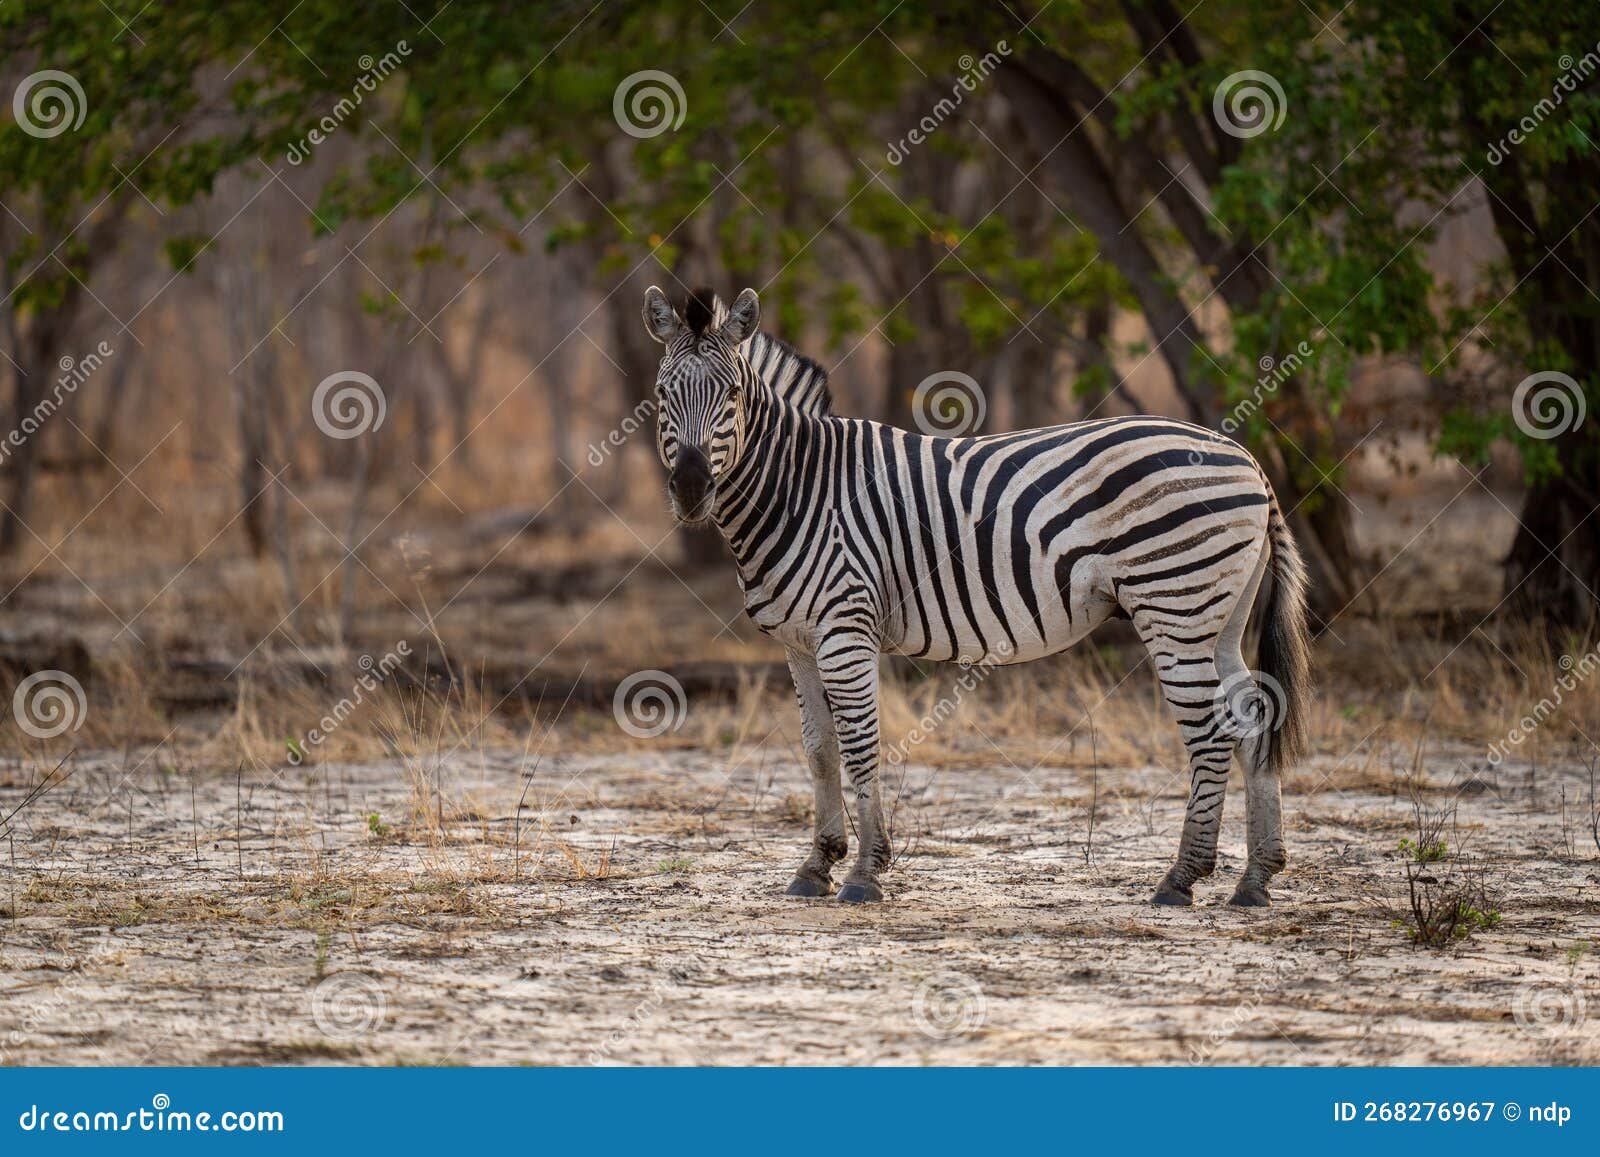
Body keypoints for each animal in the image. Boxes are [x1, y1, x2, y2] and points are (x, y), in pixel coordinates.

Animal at [642, 284, 1311, 907]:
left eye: (733, 395)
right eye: (664, 395)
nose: (692, 489)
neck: (799, 488)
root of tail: (1246, 457)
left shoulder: (845, 629)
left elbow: (860, 746)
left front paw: (864, 872)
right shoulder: (799, 642)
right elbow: (819, 750)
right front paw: (816, 865)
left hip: (1174, 603)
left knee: (1211, 731)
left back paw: (1182, 877)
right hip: (1216, 616)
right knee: (1253, 716)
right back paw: (1256, 878)